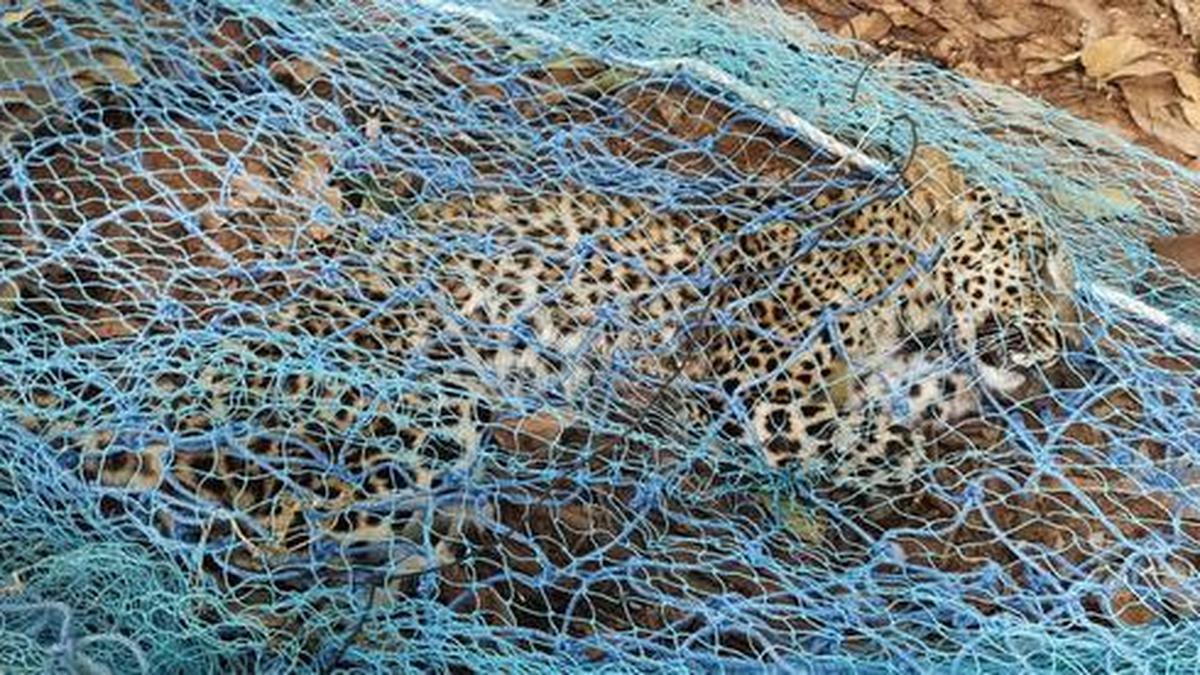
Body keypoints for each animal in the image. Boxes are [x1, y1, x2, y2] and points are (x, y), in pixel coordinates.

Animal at [6, 175, 1080, 581]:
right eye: (1038, 258)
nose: (1072, 343)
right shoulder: (778, 399)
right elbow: (886, 447)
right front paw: (925, 483)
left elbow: (916, 410)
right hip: (424, 400)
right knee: (268, 521)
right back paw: (443, 547)